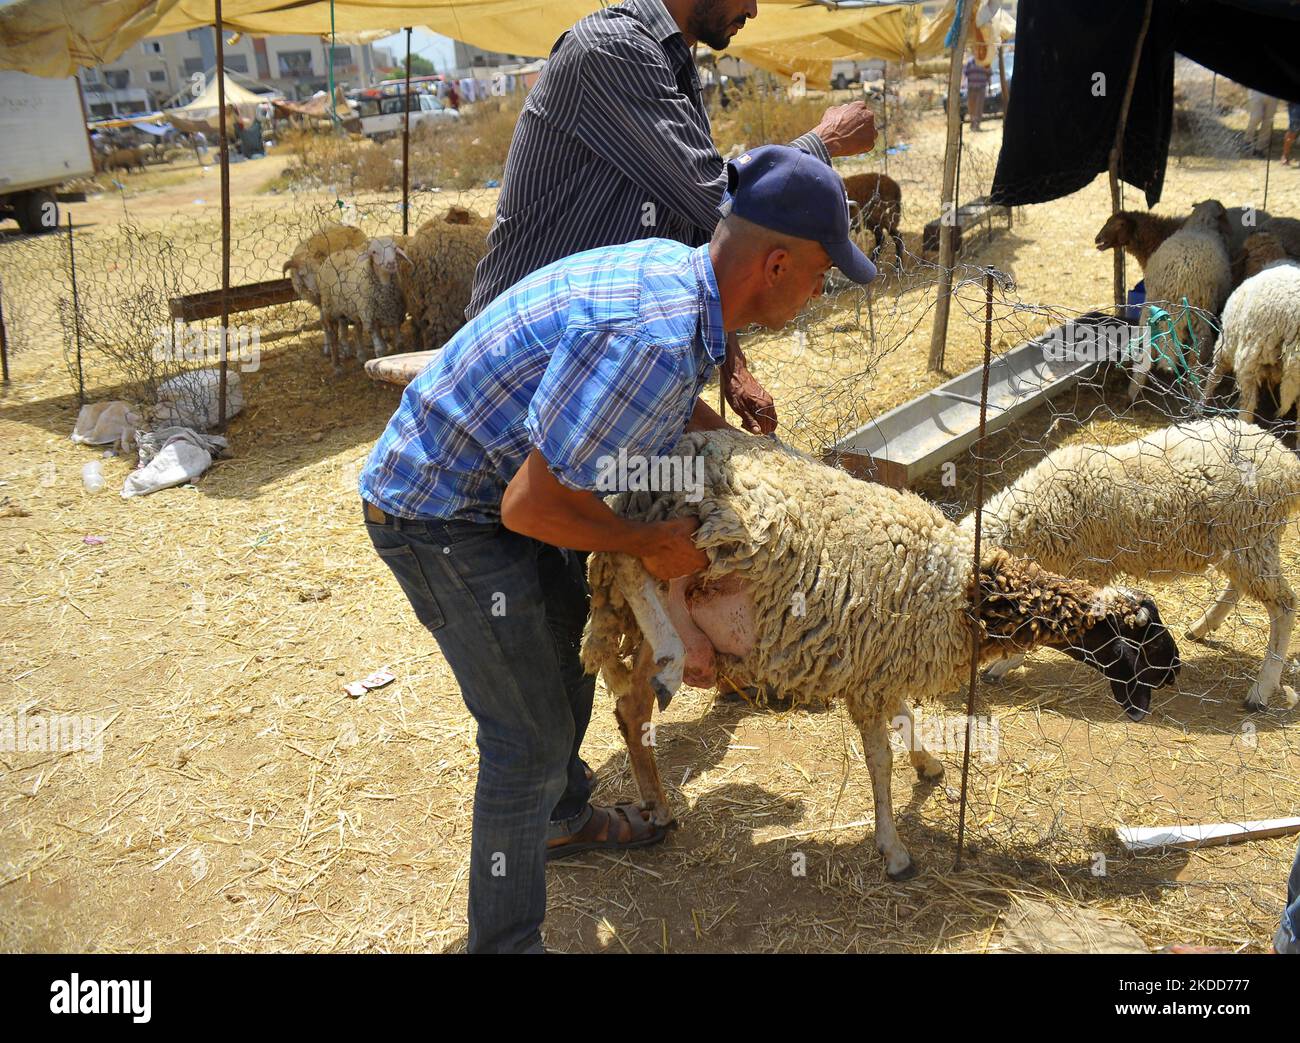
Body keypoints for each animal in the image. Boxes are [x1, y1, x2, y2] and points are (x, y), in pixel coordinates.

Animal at [316, 236, 410, 371]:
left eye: (395, 248)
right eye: (374, 252)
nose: (391, 263)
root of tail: (334, 254)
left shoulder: (395, 316)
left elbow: (400, 344)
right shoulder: (370, 321)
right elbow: (380, 350)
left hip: (352, 310)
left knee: (357, 331)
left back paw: (360, 356)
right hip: (329, 309)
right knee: (333, 334)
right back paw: (336, 365)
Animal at [581, 430, 1181, 880]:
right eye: (1149, 649)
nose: (1157, 694)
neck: (970, 595)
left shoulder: (882, 664)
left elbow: (907, 720)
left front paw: (929, 765)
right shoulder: (871, 676)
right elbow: (881, 761)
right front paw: (893, 850)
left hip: (672, 604)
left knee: (630, 710)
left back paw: (658, 800)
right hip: (704, 530)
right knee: (631, 561)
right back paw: (671, 665)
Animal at [970, 418, 1300, 711]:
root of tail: (1286, 460)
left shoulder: (1086, 569)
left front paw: (1005, 663)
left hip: (1252, 533)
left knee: (1284, 604)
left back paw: (1261, 689)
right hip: (1243, 542)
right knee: (1240, 586)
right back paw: (1202, 626)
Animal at [1127, 199, 1233, 401]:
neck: (1202, 224)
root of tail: (1176, 279)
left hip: (1148, 310)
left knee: (1142, 355)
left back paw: (1132, 393)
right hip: (1199, 314)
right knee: (1197, 354)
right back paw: (1195, 388)